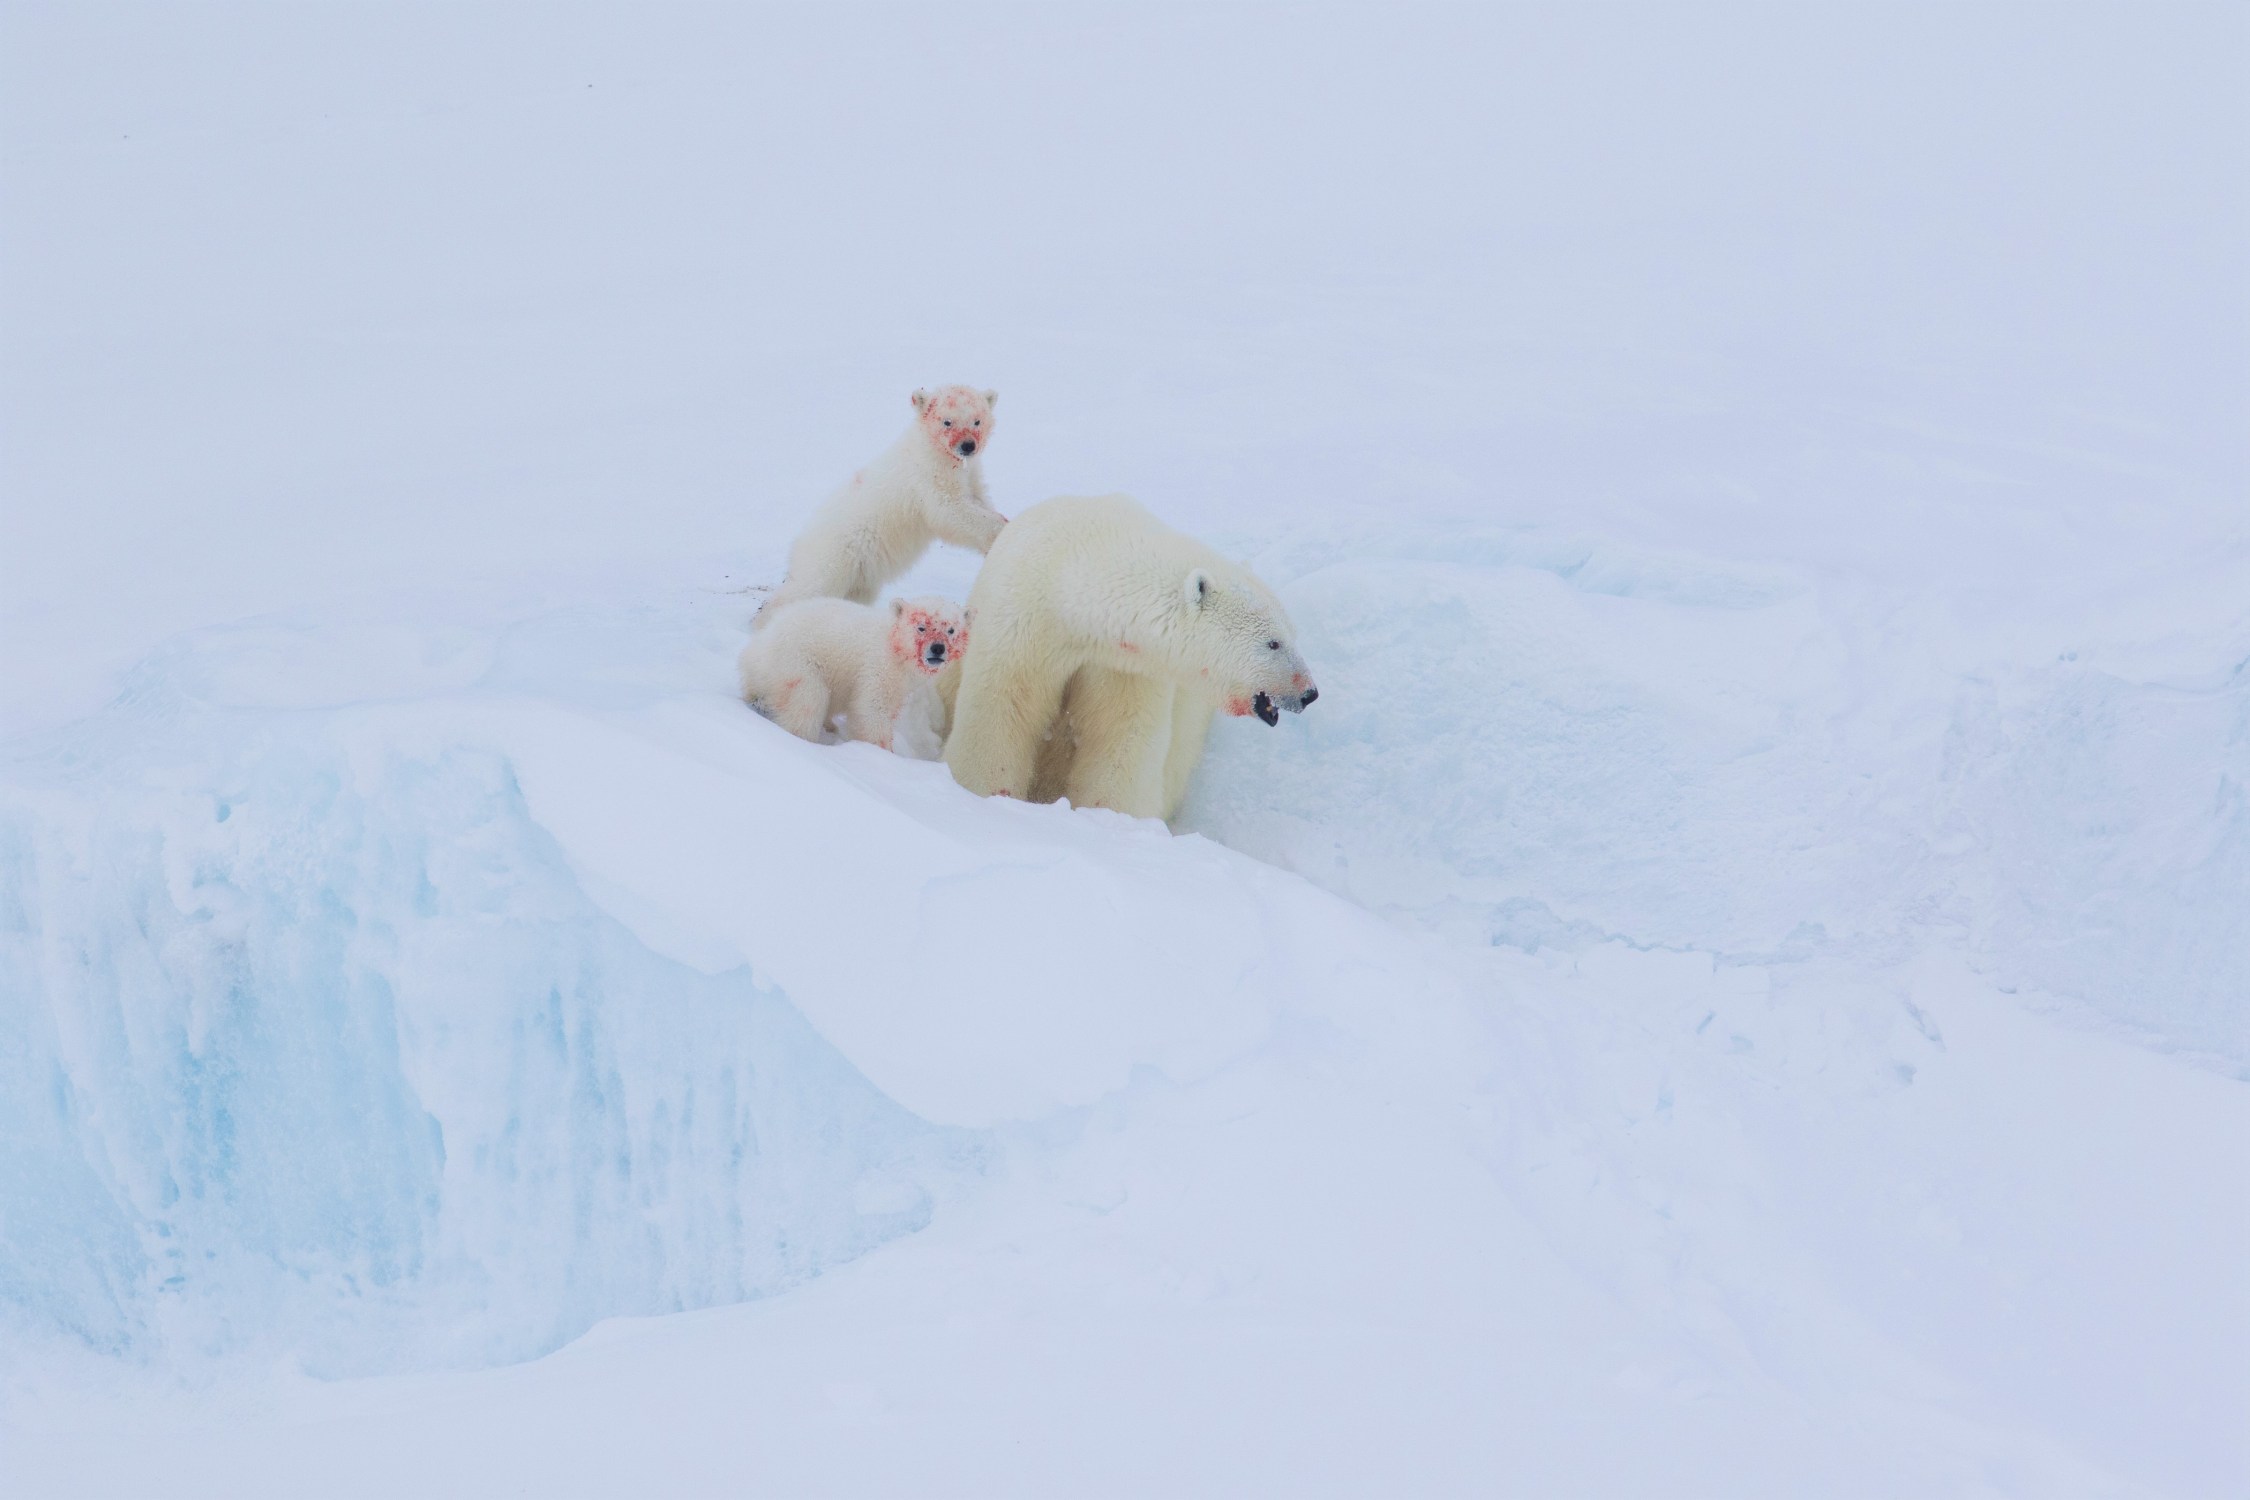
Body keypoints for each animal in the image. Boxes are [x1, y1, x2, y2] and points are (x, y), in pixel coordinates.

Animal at [739, 594, 970, 750]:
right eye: (921, 627)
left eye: (951, 629)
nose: (938, 648)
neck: (893, 645)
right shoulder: (878, 666)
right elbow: (872, 708)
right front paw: (881, 750)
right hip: (795, 662)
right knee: (808, 700)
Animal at [753, 386, 1004, 629]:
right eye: (947, 421)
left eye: (977, 420)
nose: (968, 446)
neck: (930, 450)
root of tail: (800, 541)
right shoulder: (926, 476)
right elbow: (950, 511)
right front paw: (999, 530)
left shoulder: (971, 474)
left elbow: (978, 499)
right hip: (835, 554)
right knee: (810, 586)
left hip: (861, 571)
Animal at [940, 494, 1317, 820]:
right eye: (1273, 643)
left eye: (1292, 635)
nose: (1309, 693)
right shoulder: (1024, 625)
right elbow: (1002, 712)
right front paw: (983, 793)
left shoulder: (1123, 665)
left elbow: (1121, 737)